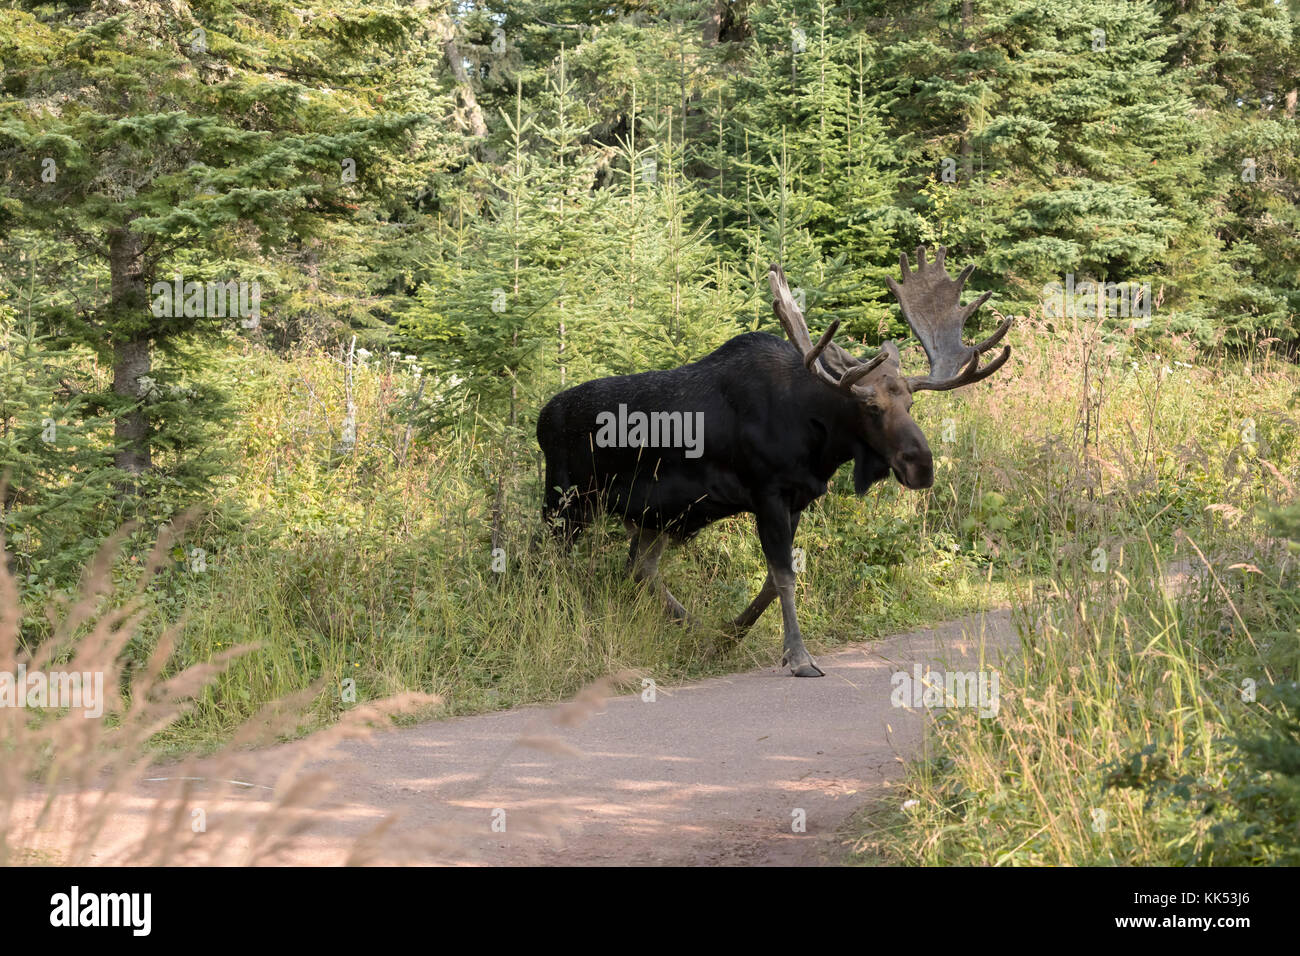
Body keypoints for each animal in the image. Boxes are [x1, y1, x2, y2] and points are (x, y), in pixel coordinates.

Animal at [536, 246, 1011, 676]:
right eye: (871, 407)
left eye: (910, 403)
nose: (922, 465)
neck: (815, 436)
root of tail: (541, 418)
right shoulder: (766, 491)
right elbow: (783, 576)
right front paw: (798, 657)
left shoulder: (798, 499)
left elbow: (771, 579)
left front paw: (728, 637)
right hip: (565, 503)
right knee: (549, 568)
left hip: (652, 516)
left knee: (639, 569)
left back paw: (699, 632)